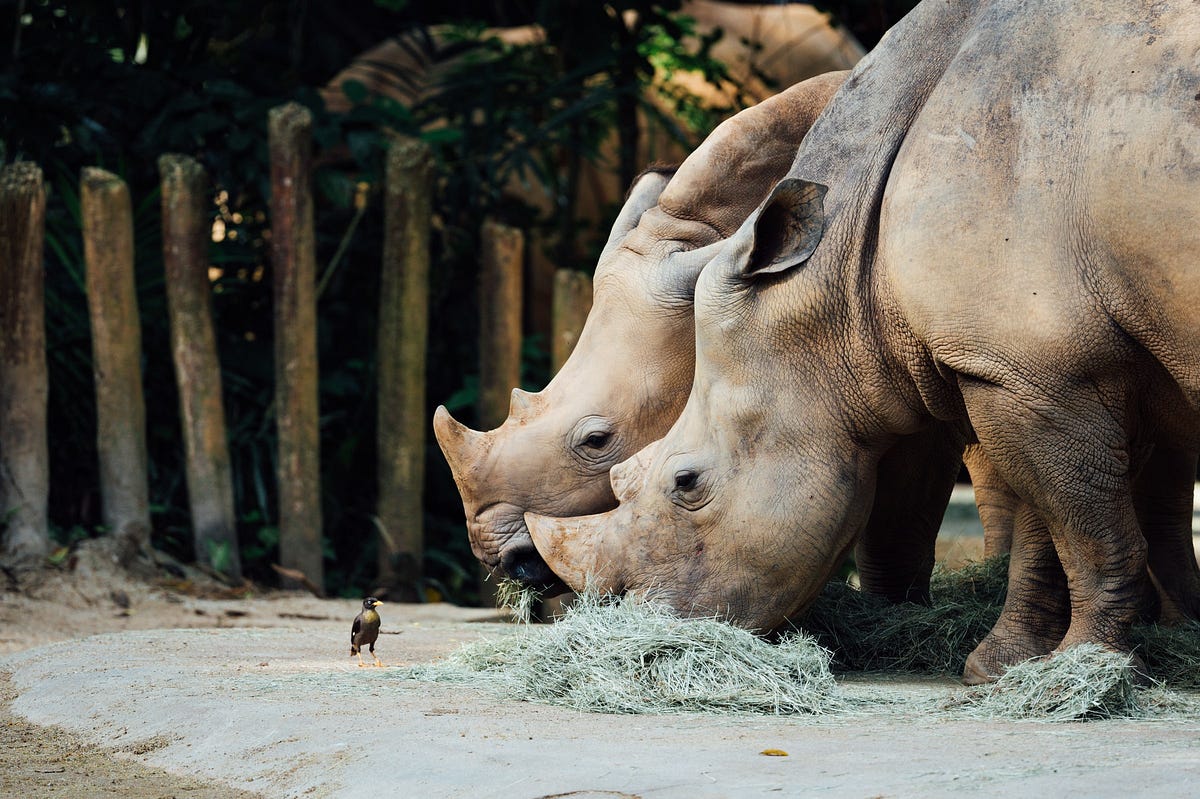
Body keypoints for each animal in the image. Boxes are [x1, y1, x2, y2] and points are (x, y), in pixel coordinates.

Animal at [525, 0, 1200, 679]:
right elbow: (1052, 520)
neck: (836, 275)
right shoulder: (1024, 367)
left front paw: (1084, 669)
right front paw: (1003, 667)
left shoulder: (1032, 369)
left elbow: (1086, 524)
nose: (642, 614)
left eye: (686, 483)